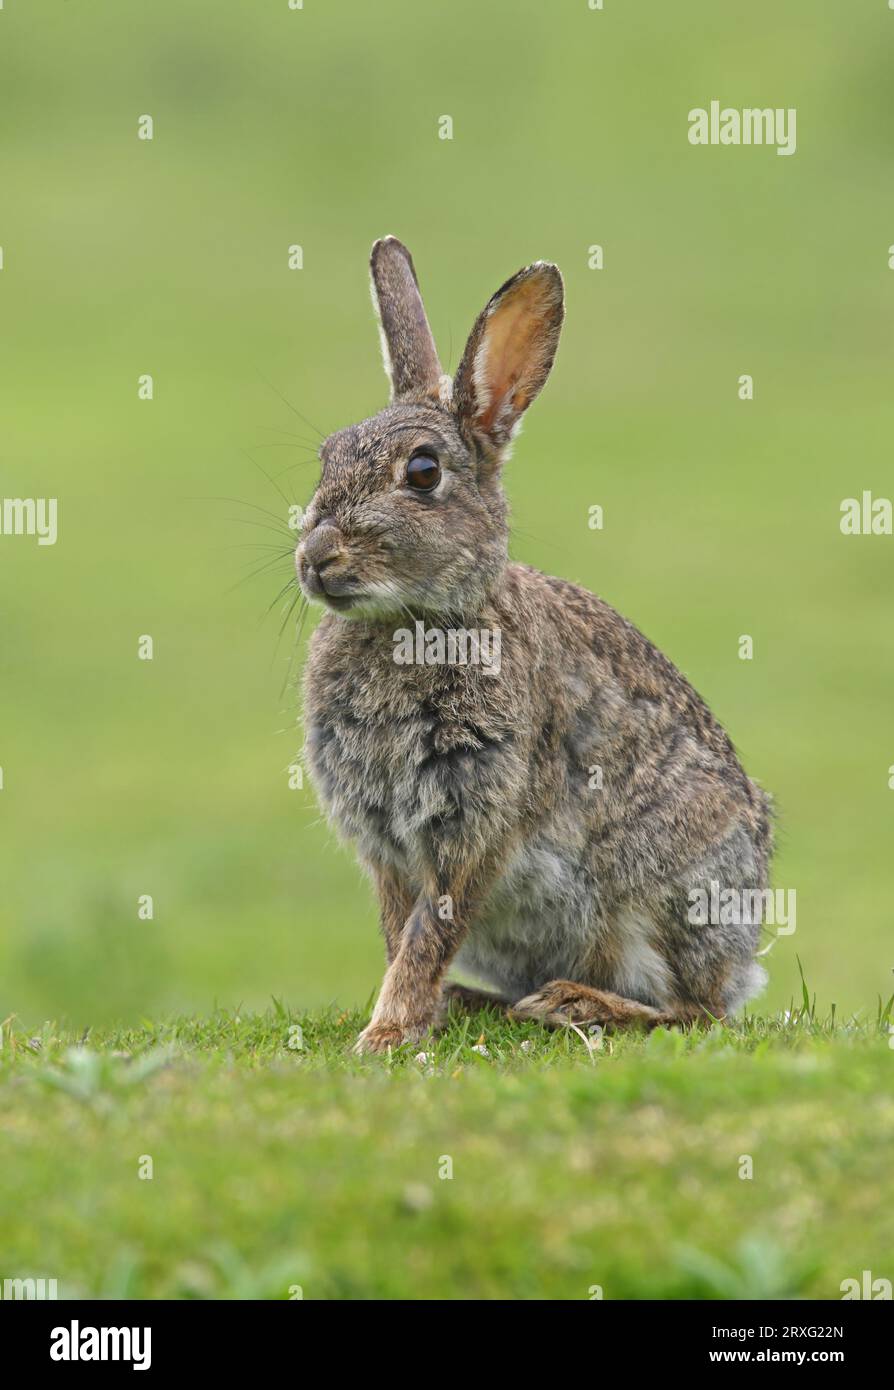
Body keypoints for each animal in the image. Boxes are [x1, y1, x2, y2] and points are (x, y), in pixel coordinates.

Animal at [297, 236, 774, 1054]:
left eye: (422, 472)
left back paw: (575, 1005)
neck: (417, 622)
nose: (315, 556)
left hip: (663, 892)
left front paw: (386, 1033)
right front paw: (408, 1019)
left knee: (696, 1010)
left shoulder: (476, 823)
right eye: (327, 455)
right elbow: (400, 933)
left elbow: (427, 932)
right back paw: (479, 1001)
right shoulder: (386, 846)